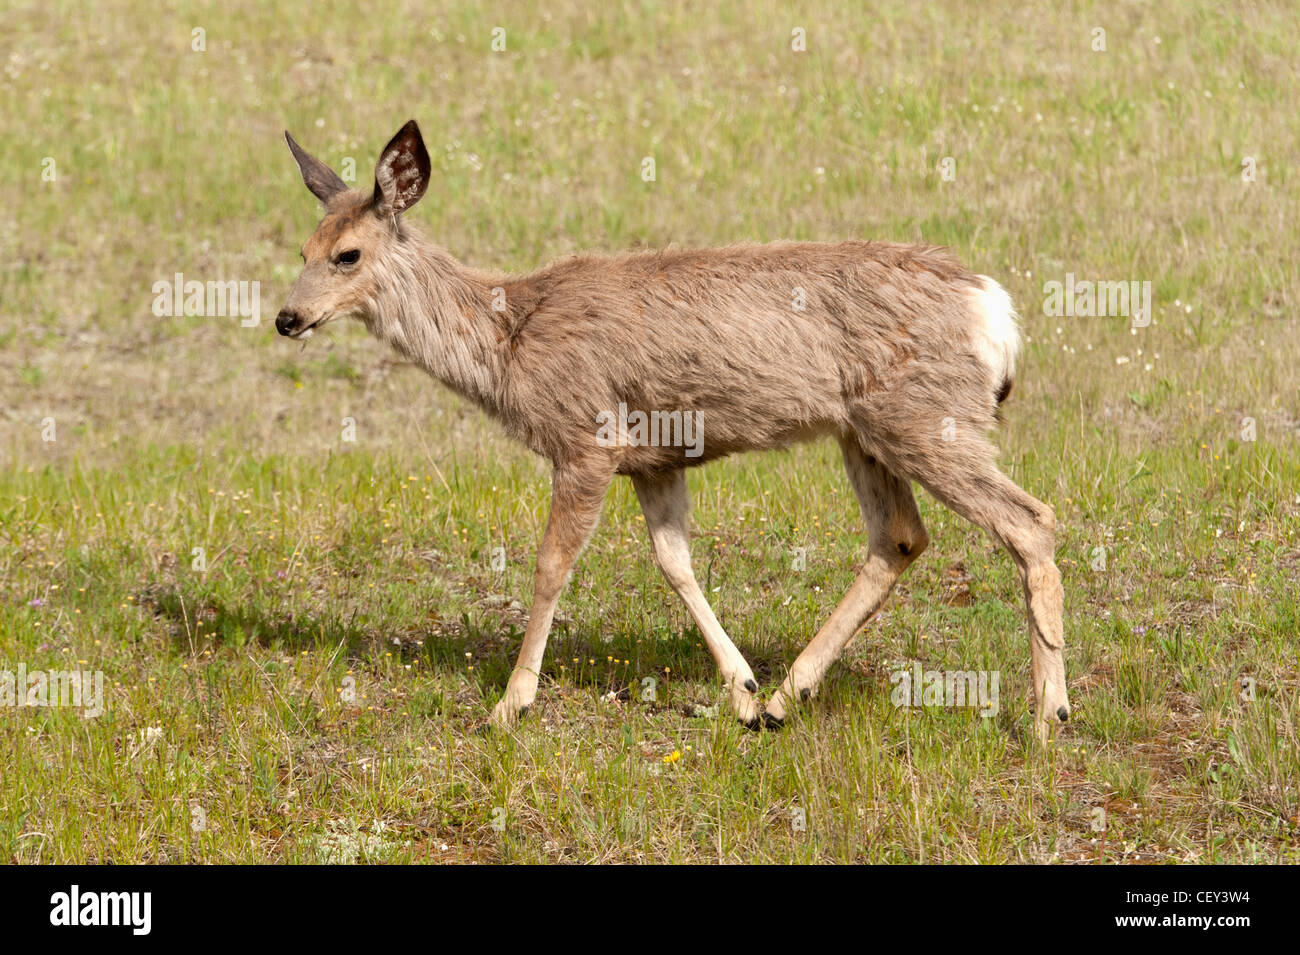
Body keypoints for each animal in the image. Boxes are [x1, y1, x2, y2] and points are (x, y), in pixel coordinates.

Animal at [276, 120, 1071, 743]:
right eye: (302, 249)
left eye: (347, 254)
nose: (287, 317)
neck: (509, 341)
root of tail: (993, 307)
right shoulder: (654, 458)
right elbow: (675, 562)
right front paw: (743, 690)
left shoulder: (586, 437)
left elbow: (551, 564)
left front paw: (510, 703)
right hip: (866, 429)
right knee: (900, 536)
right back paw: (785, 698)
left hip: (928, 415)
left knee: (1030, 520)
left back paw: (1047, 716)